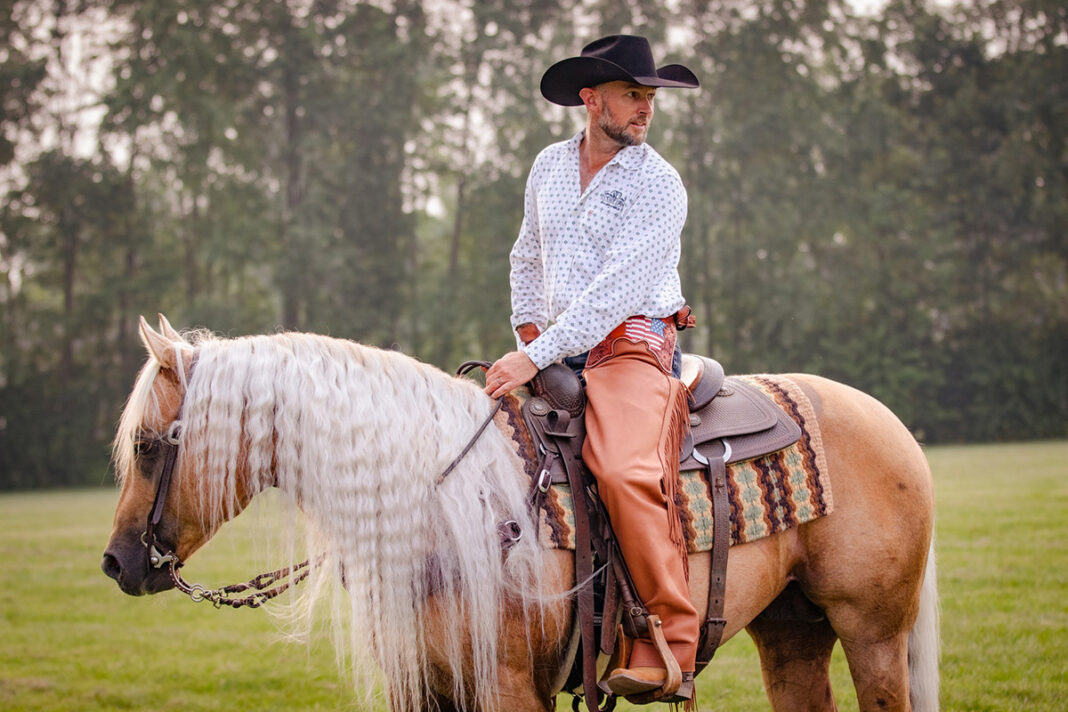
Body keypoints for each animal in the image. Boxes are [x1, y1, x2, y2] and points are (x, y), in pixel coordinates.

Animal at [102, 315, 939, 712]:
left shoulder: (507, 690)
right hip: (792, 631)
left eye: (145, 445)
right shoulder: (424, 687)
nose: (117, 562)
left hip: (872, 631)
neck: (438, 503)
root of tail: (892, 423)